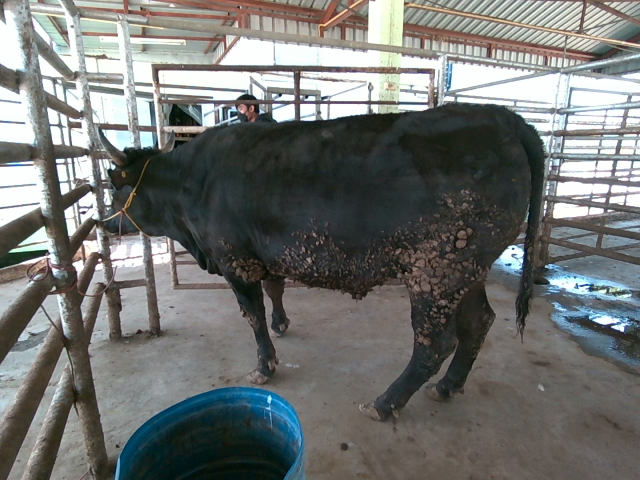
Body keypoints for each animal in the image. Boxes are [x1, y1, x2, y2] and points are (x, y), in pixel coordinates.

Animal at [99, 103, 545, 422]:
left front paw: (264, 365)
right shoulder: (263, 254)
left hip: (437, 270)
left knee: (433, 343)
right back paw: (449, 386)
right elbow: (274, 289)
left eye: (112, 181)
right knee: (478, 322)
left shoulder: (234, 259)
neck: (194, 180)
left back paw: (385, 402)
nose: (102, 224)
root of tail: (497, 115)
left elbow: (252, 314)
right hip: (467, 269)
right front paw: (282, 324)